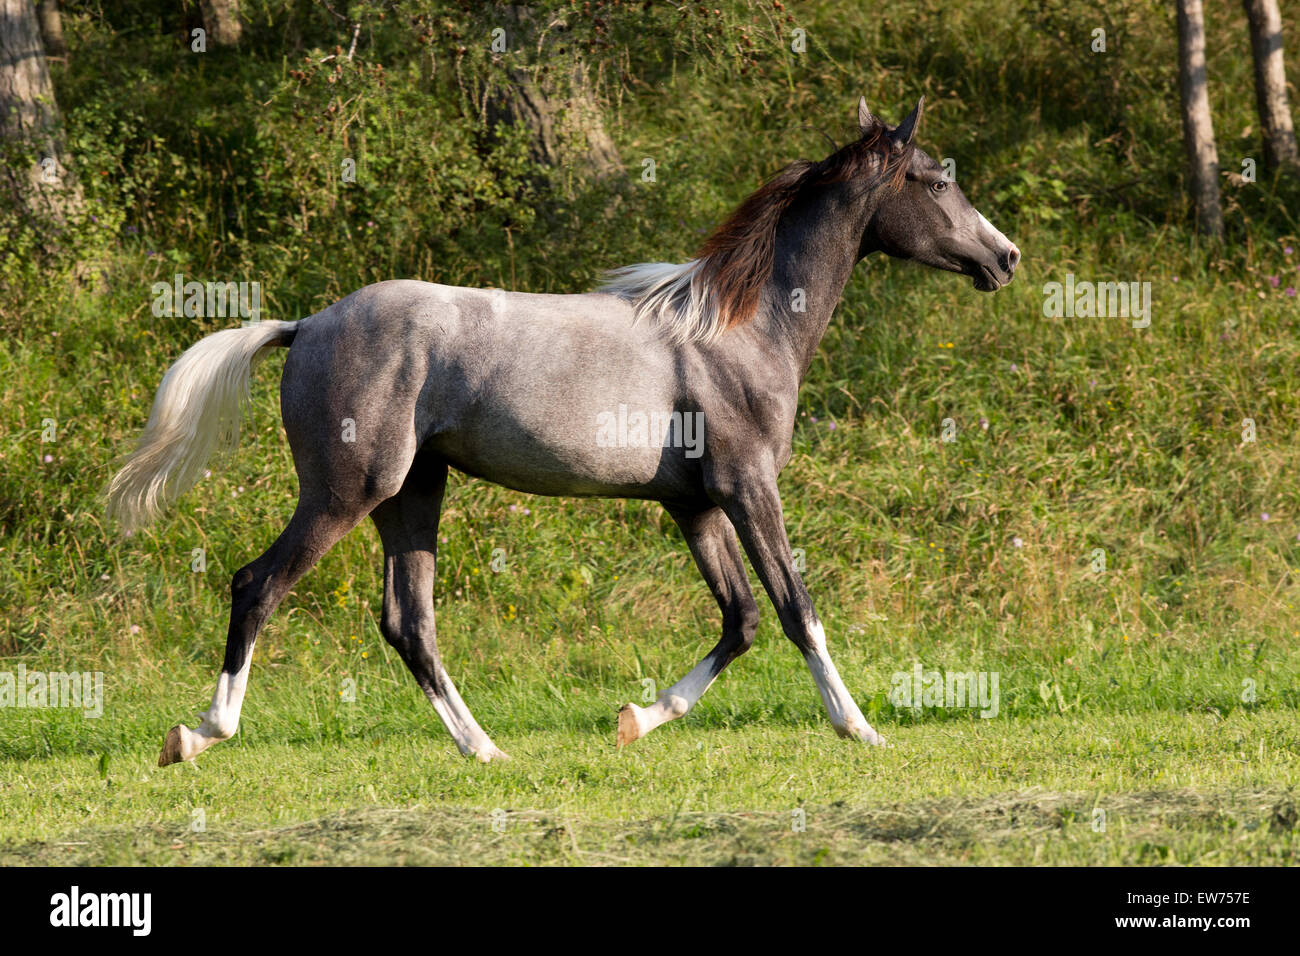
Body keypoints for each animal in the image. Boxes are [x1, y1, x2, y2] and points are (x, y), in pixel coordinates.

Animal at [108, 97, 1019, 765]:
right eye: (936, 181)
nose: (1005, 258)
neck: (742, 327)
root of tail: (305, 325)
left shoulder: (693, 504)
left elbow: (741, 619)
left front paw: (636, 719)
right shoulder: (747, 486)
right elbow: (796, 608)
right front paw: (859, 726)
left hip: (412, 494)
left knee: (409, 623)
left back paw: (485, 750)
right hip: (346, 492)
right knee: (257, 586)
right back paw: (197, 734)